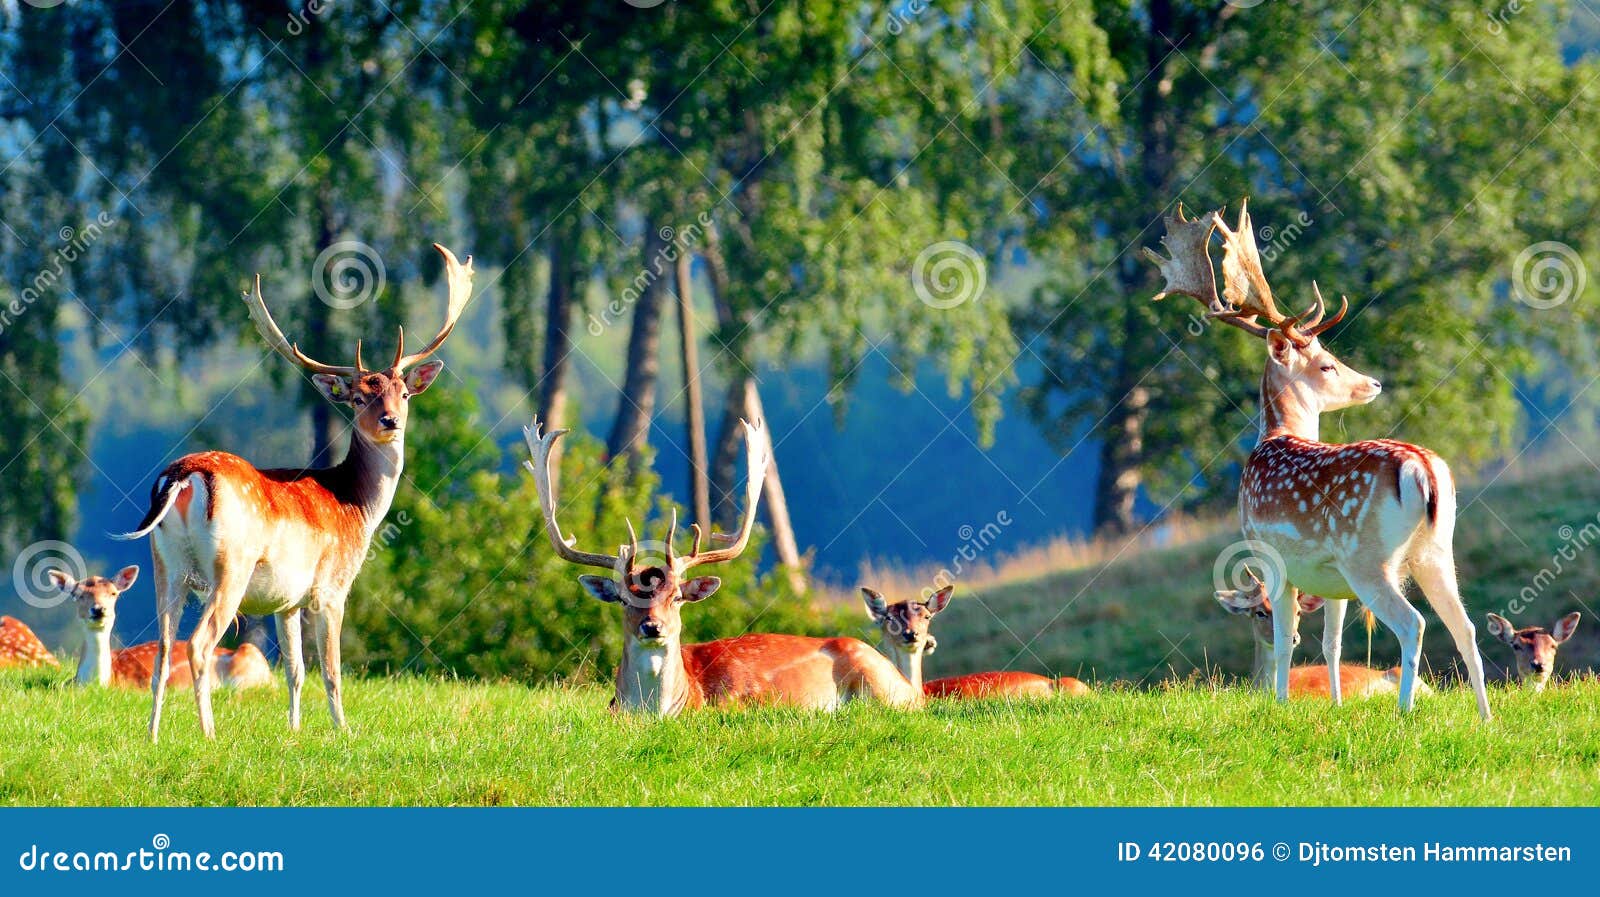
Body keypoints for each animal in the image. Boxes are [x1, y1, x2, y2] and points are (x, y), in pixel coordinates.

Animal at [112, 243, 476, 740]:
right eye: (358, 398)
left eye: (403, 392)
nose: (390, 421)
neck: (355, 506)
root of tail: (184, 474)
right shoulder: (331, 586)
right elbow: (332, 671)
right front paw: (344, 730)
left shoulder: (285, 601)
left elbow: (296, 670)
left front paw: (294, 731)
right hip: (230, 564)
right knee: (198, 644)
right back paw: (208, 733)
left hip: (164, 565)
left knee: (164, 649)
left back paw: (152, 735)